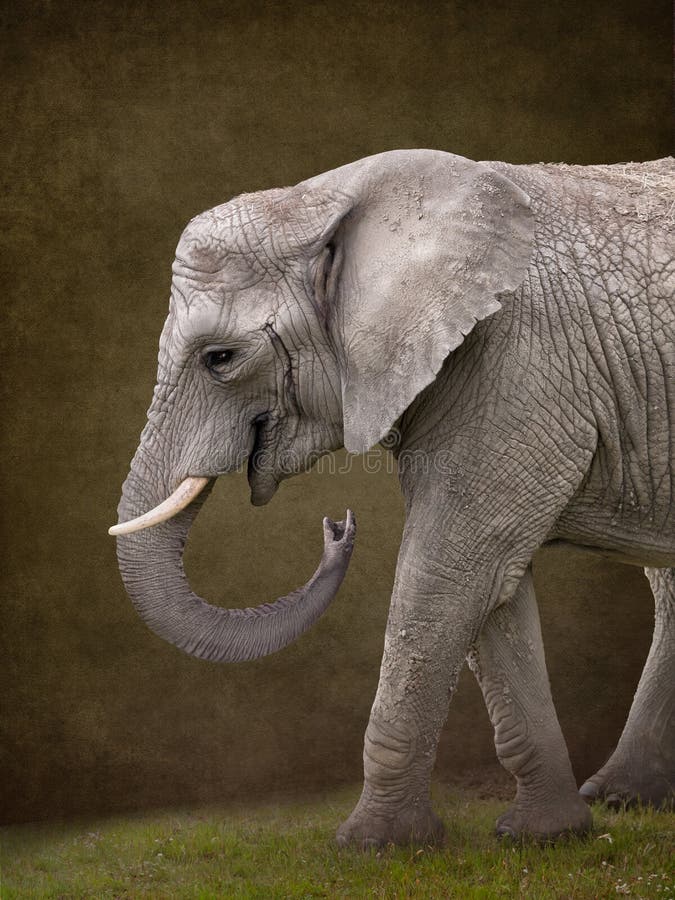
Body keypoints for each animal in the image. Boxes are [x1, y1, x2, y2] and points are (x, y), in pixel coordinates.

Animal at [111, 149, 674, 848]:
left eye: (221, 358)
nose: (338, 526)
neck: (325, 200)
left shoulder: (519, 363)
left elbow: (448, 573)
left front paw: (370, 847)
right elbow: (491, 588)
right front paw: (545, 836)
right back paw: (623, 799)